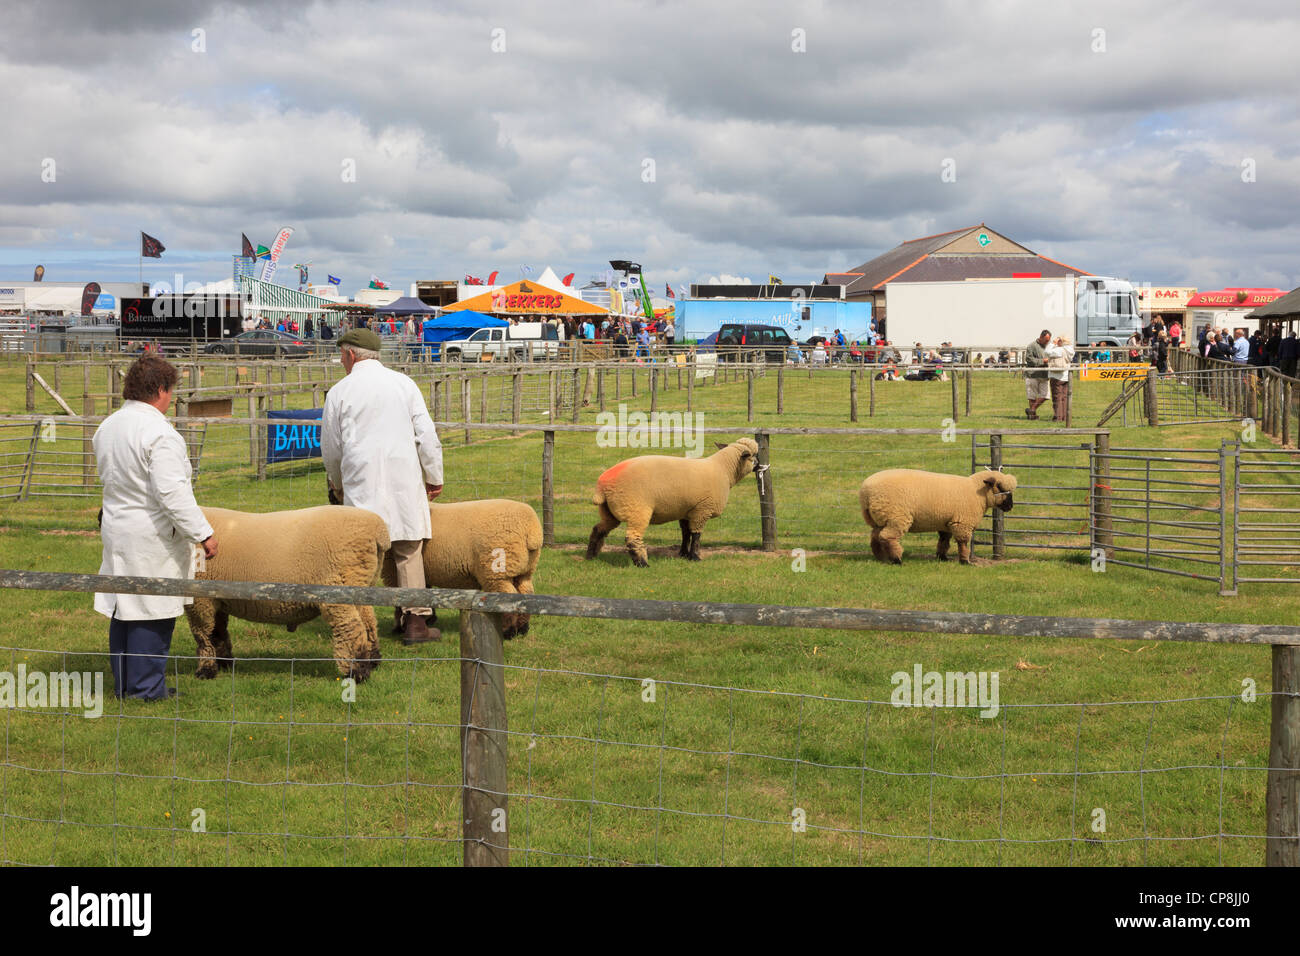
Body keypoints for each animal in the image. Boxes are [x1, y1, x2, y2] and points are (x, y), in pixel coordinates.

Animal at [185, 505, 389, 682]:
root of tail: (378, 530)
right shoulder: (217, 598)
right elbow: (218, 632)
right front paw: (224, 663)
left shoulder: (199, 597)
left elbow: (204, 635)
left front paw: (206, 670)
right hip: (363, 585)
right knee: (369, 622)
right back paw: (373, 661)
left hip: (339, 589)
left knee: (351, 627)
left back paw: (357, 672)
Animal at [376, 499, 543, 641]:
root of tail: (531, 530)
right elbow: (425, 592)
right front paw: (429, 619)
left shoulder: (392, 570)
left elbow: (400, 599)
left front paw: (399, 627)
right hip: (523, 570)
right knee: (526, 594)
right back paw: (522, 628)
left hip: (496, 571)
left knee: (508, 598)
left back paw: (508, 631)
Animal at [586, 437, 759, 566]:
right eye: (753, 456)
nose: (760, 465)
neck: (723, 470)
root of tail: (602, 486)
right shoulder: (702, 510)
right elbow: (696, 535)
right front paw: (695, 557)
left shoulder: (687, 510)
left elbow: (686, 533)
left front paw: (683, 554)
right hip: (637, 509)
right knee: (632, 538)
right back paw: (642, 563)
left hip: (609, 511)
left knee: (598, 529)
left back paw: (591, 556)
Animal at [859, 468, 1018, 565]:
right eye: (1000, 487)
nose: (1010, 507)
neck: (976, 492)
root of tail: (865, 493)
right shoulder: (962, 523)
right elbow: (963, 543)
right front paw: (965, 561)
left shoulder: (947, 523)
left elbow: (944, 541)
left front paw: (942, 558)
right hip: (896, 517)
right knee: (887, 537)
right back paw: (896, 559)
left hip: (878, 519)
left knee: (875, 537)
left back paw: (881, 558)